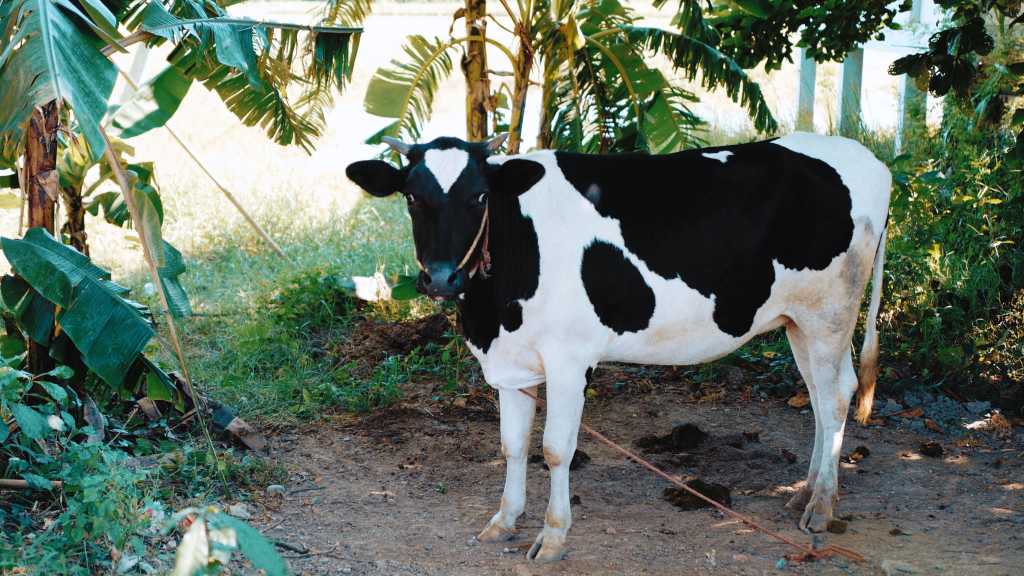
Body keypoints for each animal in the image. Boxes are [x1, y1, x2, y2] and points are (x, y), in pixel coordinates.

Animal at [345, 132, 890, 562]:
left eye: (479, 196)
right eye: (412, 197)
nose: (441, 278)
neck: (492, 312)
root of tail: (870, 160)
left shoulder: (569, 360)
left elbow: (555, 449)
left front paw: (553, 536)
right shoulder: (512, 362)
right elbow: (512, 445)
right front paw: (504, 521)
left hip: (830, 313)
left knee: (836, 396)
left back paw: (821, 506)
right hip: (798, 321)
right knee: (819, 397)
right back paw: (805, 493)